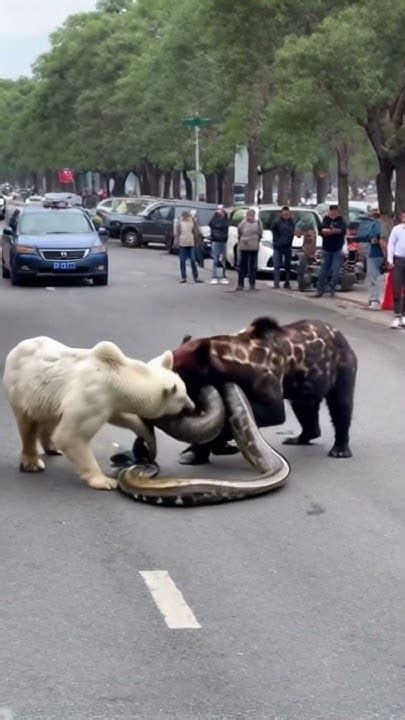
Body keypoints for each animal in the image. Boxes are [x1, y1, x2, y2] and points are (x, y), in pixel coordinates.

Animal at [3, 336, 194, 490]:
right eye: (182, 397)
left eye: (186, 391)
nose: (192, 406)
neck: (117, 374)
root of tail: (15, 349)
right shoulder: (93, 395)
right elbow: (72, 435)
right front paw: (105, 481)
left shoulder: (109, 401)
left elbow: (122, 418)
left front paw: (149, 440)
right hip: (21, 389)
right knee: (27, 425)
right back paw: (33, 463)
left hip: (44, 397)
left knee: (49, 417)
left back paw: (52, 447)